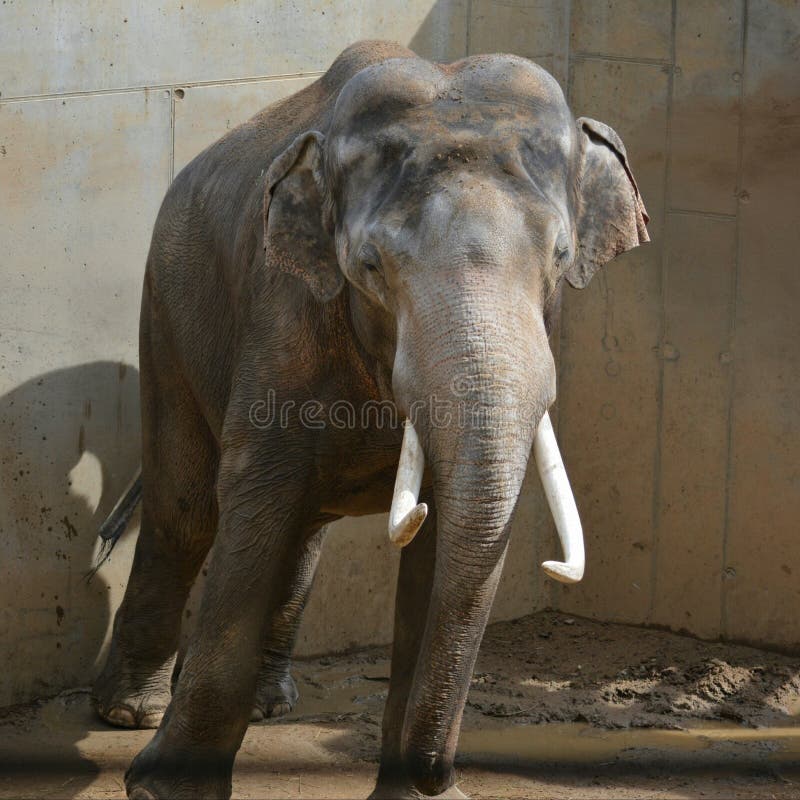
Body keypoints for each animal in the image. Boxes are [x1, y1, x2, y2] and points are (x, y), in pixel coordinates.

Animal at [91, 39, 648, 799]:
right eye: (369, 264)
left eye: (561, 259)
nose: (439, 774)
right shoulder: (281, 313)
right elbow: (253, 505)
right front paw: (160, 791)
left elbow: (441, 543)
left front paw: (413, 795)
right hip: (167, 309)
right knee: (187, 513)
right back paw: (128, 711)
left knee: (300, 531)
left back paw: (270, 706)